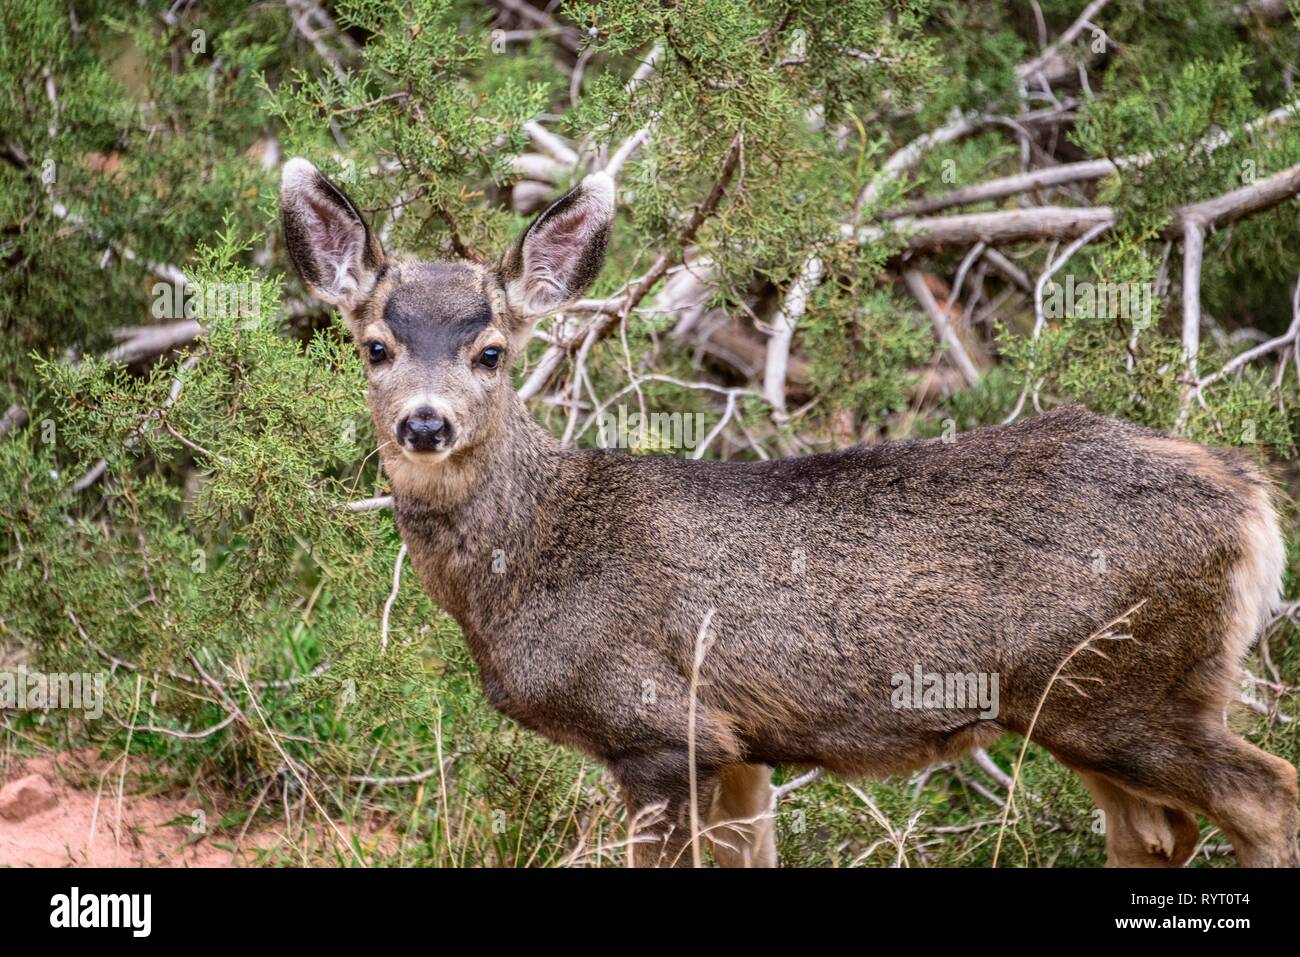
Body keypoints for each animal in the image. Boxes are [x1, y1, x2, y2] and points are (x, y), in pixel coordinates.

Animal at [280, 157, 1299, 868]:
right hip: (1088, 702)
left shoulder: (659, 726)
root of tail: (1252, 499)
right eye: (375, 345)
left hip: (1124, 686)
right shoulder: (738, 748)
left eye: (491, 350)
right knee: (1156, 831)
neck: (530, 560)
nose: (425, 422)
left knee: (1266, 793)